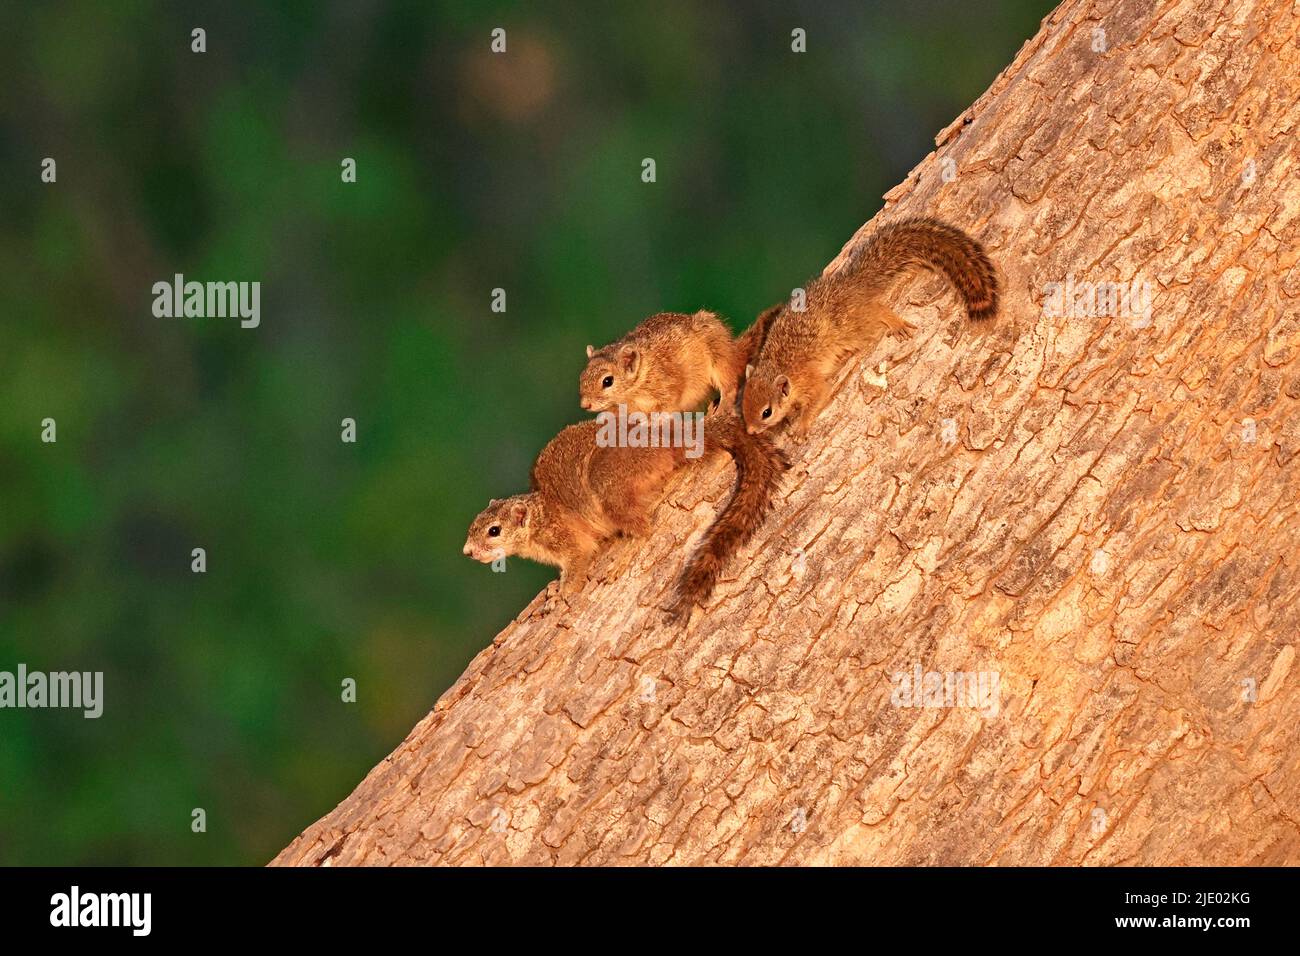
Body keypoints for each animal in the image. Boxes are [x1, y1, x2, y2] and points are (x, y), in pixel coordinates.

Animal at [464, 411, 787, 608]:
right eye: (473, 525)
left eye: (494, 531)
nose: (467, 551)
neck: (542, 513)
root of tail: (663, 440)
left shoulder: (567, 542)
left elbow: (576, 565)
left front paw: (561, 595)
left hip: (609, 486)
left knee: (645, 528)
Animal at [579, 304, 782, 415]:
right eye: (581, 376)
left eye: (607, 381)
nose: (585, 405)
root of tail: (734, 353)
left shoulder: (667, 383)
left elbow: (667, 404)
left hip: (718, 357)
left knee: (729, 386)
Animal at [741, 216, 999, 440]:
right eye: (743, 406)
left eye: (766, 412)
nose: (751, 431)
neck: (777, 366)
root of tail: (853, 285)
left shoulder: (811, 383)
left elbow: (819, 397)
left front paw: (801, 426)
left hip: (853, 325)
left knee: (876, 310)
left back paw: (894, 322)